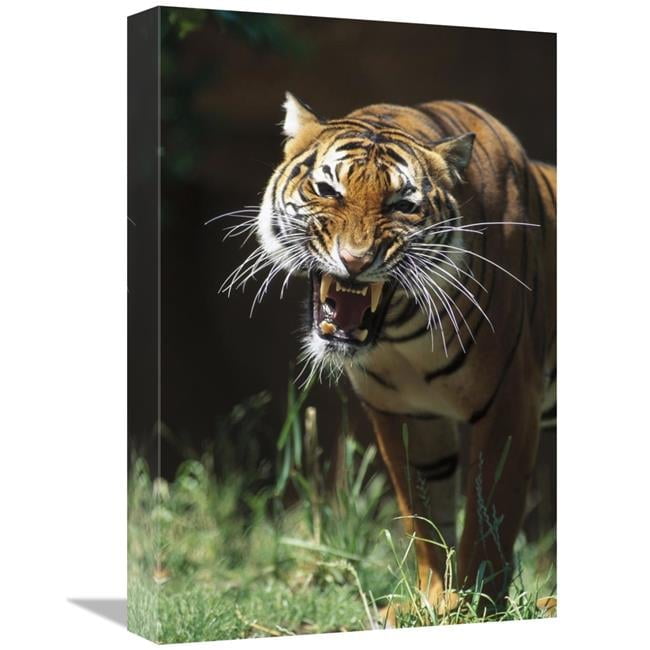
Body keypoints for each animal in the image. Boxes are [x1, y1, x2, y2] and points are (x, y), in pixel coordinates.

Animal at [228, 92, 556, 613]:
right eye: (328, 189)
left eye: (402, 205)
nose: (355, 260)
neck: (404, 334)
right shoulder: (402, 412)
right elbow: (423, 515)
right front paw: (434, 601)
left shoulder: (511, 401)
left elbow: (490, 513)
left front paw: (478, 605)